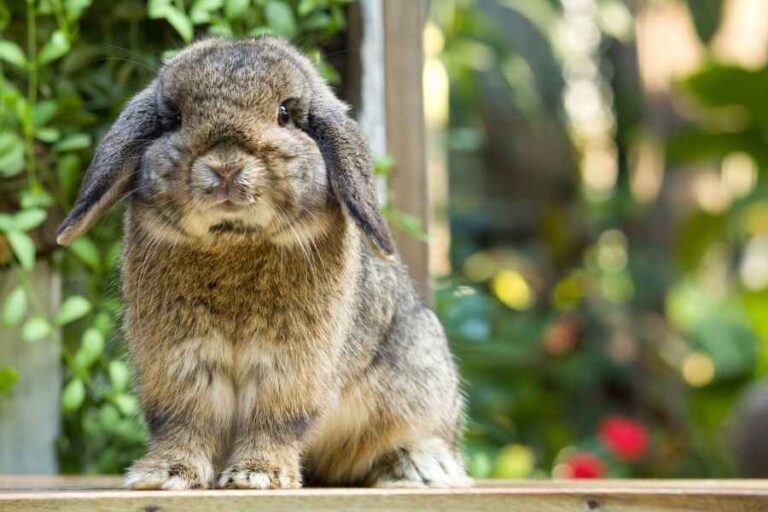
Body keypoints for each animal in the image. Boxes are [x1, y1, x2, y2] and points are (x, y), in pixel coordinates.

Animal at [56, 36, 469, 490]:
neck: (235, 242)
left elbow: (274, 420)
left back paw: (419, 468)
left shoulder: (291, 366)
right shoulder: (178, 363)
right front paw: (163, 476)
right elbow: (183, 420)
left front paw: (257, 476)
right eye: (175, 118)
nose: (225, 167)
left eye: (285, 113)